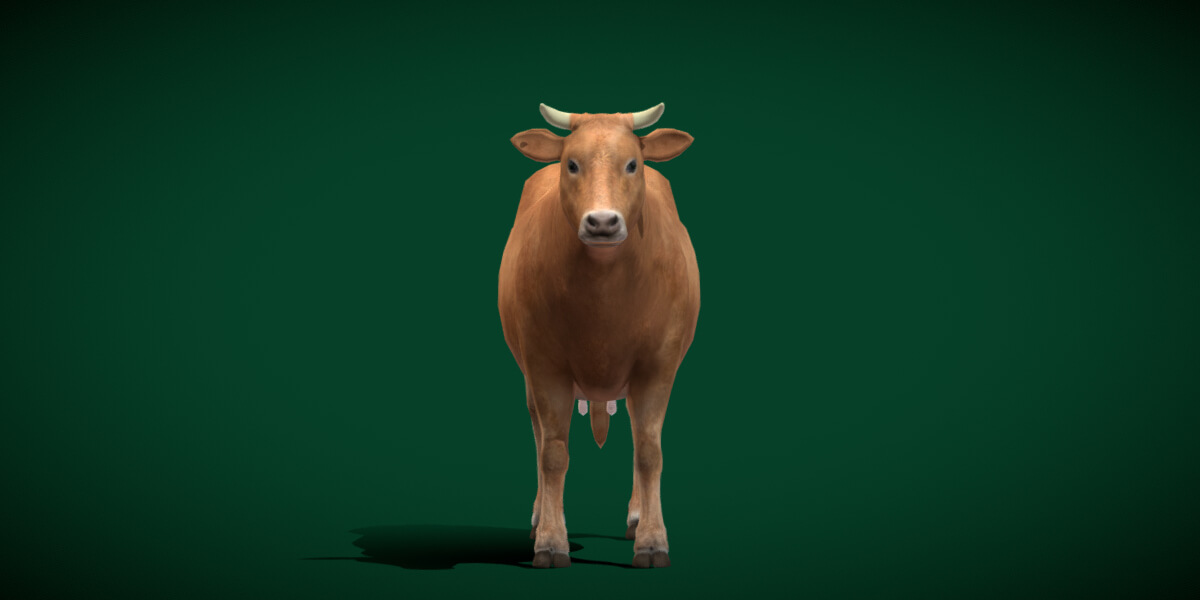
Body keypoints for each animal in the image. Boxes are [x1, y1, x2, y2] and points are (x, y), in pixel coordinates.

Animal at [499, 103, 699, 568]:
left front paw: (652, 540)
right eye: (572, 164)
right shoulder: (544, 365)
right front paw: (551, 540)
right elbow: (553, 453)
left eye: (633, 164)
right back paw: (539, 516)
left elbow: (649, 452)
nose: (603, 222)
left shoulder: (658, 365)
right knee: (538, 434)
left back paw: (637, 515)